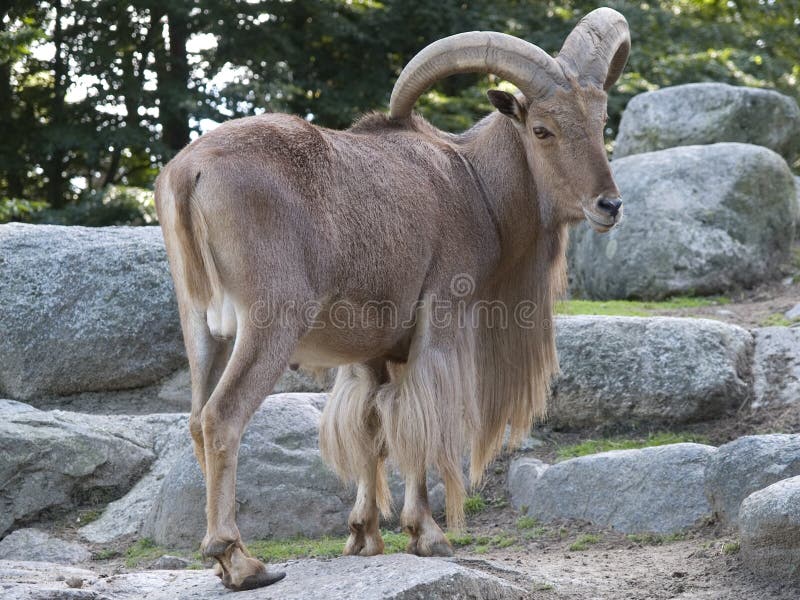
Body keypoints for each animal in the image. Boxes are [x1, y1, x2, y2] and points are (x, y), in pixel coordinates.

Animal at [155, 7, 630, 591]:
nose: (609, 205)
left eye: (600, 123)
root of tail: (188, 173)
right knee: (222, 418)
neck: (475, 184)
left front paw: (364, 536)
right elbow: (418, 421)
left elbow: (370, 426)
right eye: (542, 130)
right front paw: (428, 533)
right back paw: (240, 559)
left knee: (196, 419)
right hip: (269, 323)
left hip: (201, 328)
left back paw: (223, 558)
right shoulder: (439, 322)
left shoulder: (373, 352)